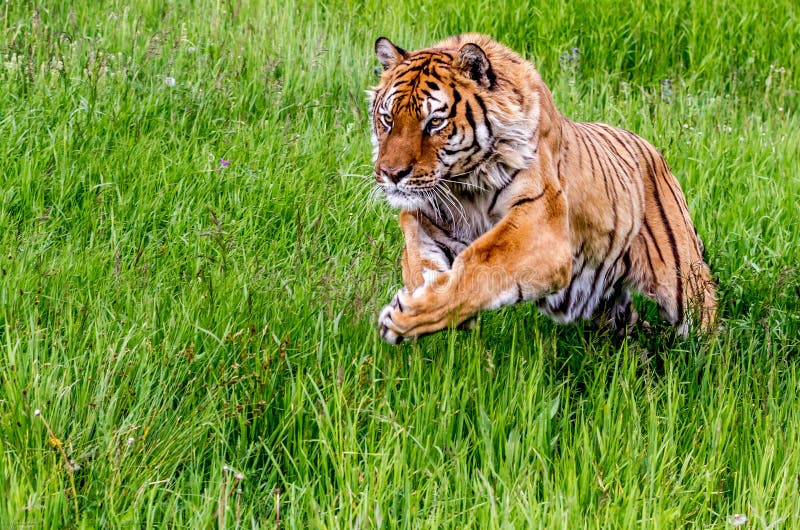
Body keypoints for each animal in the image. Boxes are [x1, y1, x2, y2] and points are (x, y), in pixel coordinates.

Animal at [368, 33, 716, 344]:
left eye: (435, 123)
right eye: (387, 118)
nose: (391, 174)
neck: (464, 184)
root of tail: (656, 153)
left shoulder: (540, 228)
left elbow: (479, 266)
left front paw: (407, 316)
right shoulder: (431, 214)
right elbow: (414, 245)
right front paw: (423, 288)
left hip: (684, 286)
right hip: (609, 306)